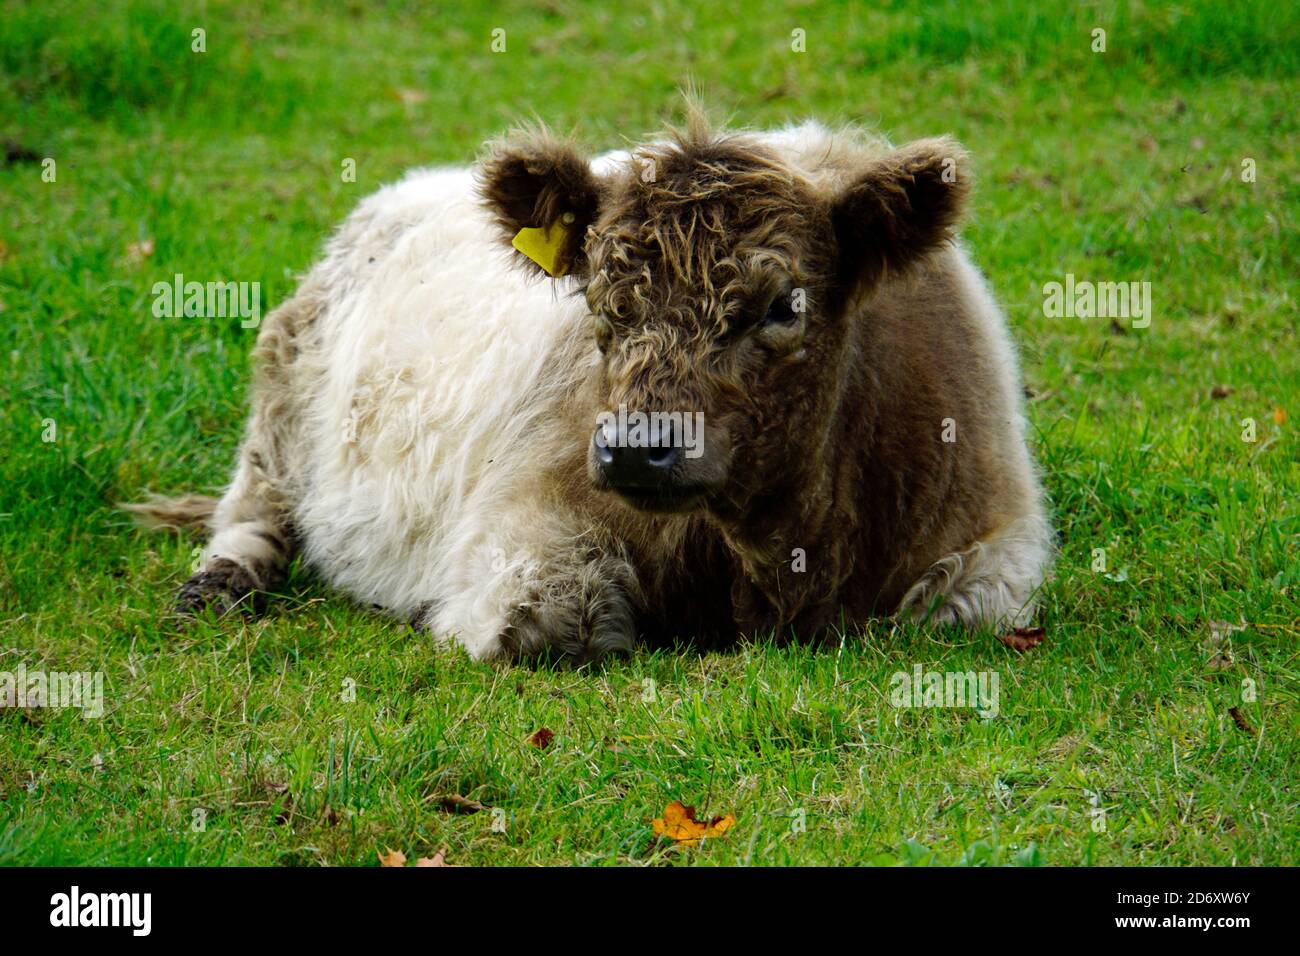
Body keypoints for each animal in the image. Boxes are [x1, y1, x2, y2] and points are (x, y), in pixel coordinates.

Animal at [129, 106, 1053, 664]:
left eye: (782, 305)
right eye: (600, 297)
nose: (639, 451)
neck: (775, 560)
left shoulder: (992, 558)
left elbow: (951, 612)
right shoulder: (519, 537)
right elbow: (553, 619)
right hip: (281, 404)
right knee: (252, 512)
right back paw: (216, 586)